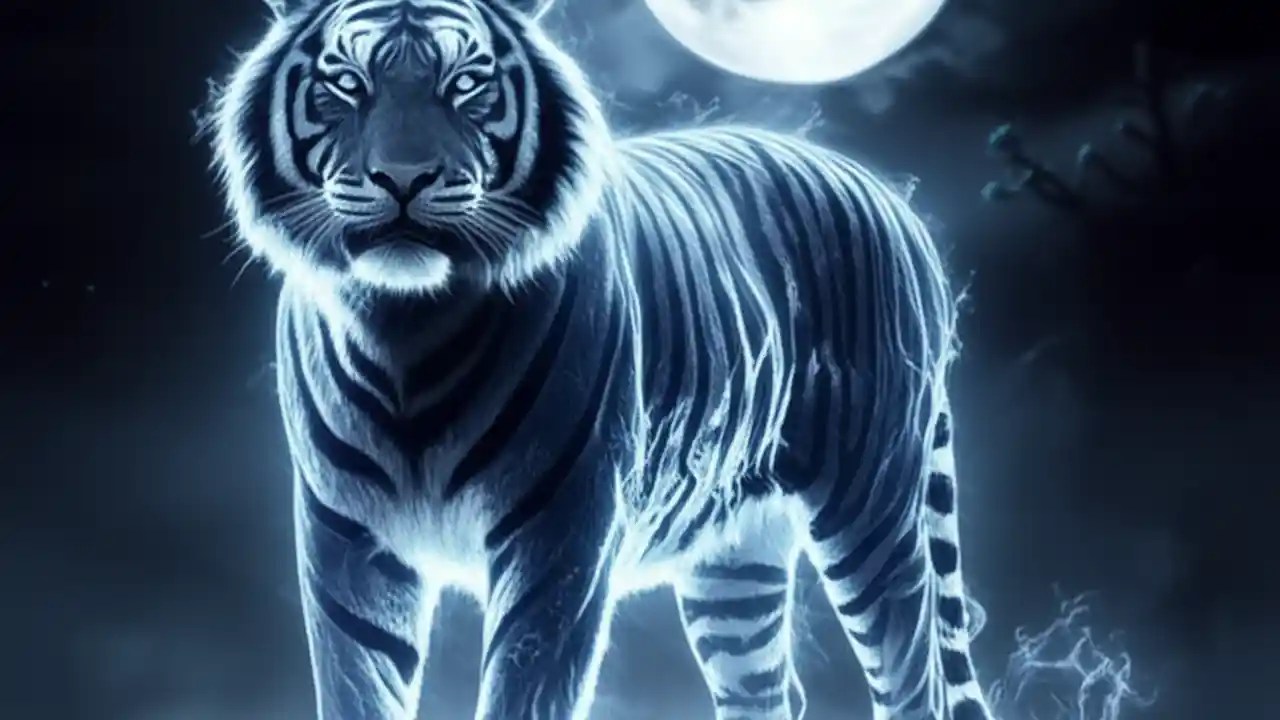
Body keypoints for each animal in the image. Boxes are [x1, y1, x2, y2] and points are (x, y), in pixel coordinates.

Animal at [206, 1, 997, 719]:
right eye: (346, 82)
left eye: (467, 82)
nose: (403, 179)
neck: (407, 326)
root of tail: (893, 200)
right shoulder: (348, 539)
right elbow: (358, 686)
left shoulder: (557, 540)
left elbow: (525, 692)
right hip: (735, 558)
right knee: (767, 690)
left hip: (872, 510)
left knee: (915, 681)